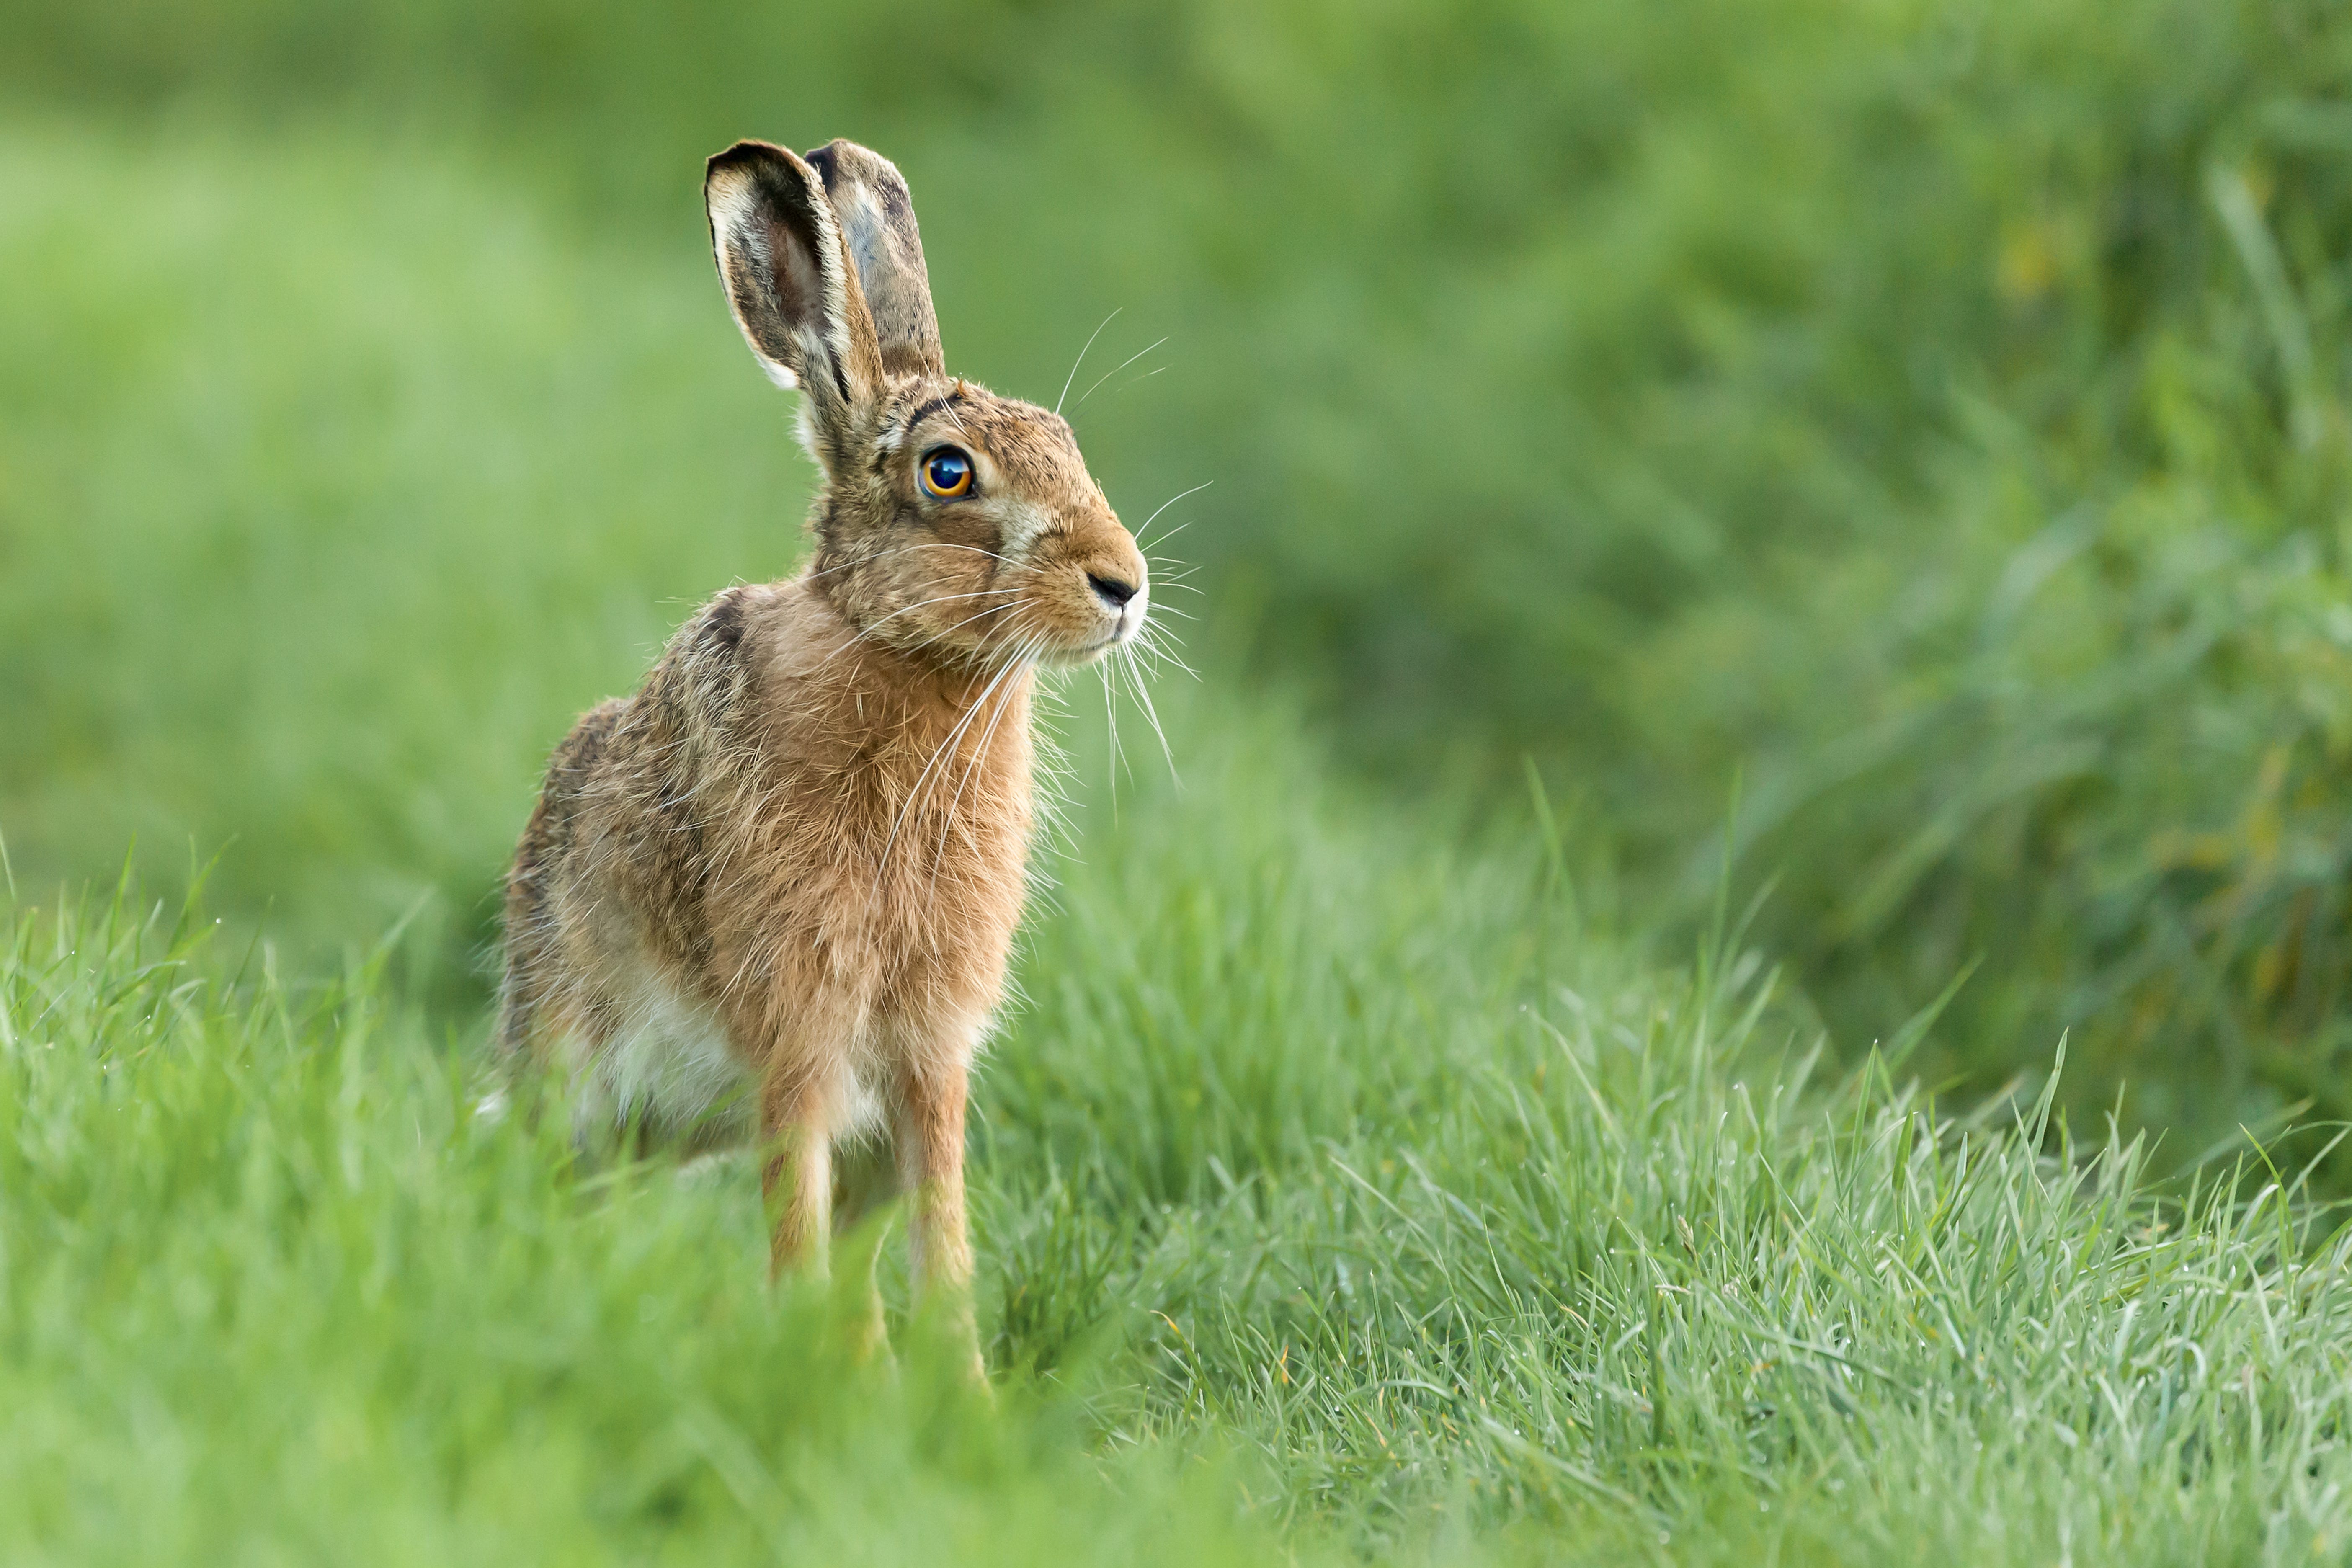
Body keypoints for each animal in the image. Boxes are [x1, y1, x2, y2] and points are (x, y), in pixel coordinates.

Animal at [497, 137, 1149, 1368]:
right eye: (949, 473)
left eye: (1069, 448)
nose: (1124, 584)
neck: (902, 655)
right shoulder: (795, 1023)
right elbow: (794, 1227)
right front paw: (823, 1385)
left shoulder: (929, 1057)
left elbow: (942, 1236)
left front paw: (960, 1389)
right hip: (576, 1056)